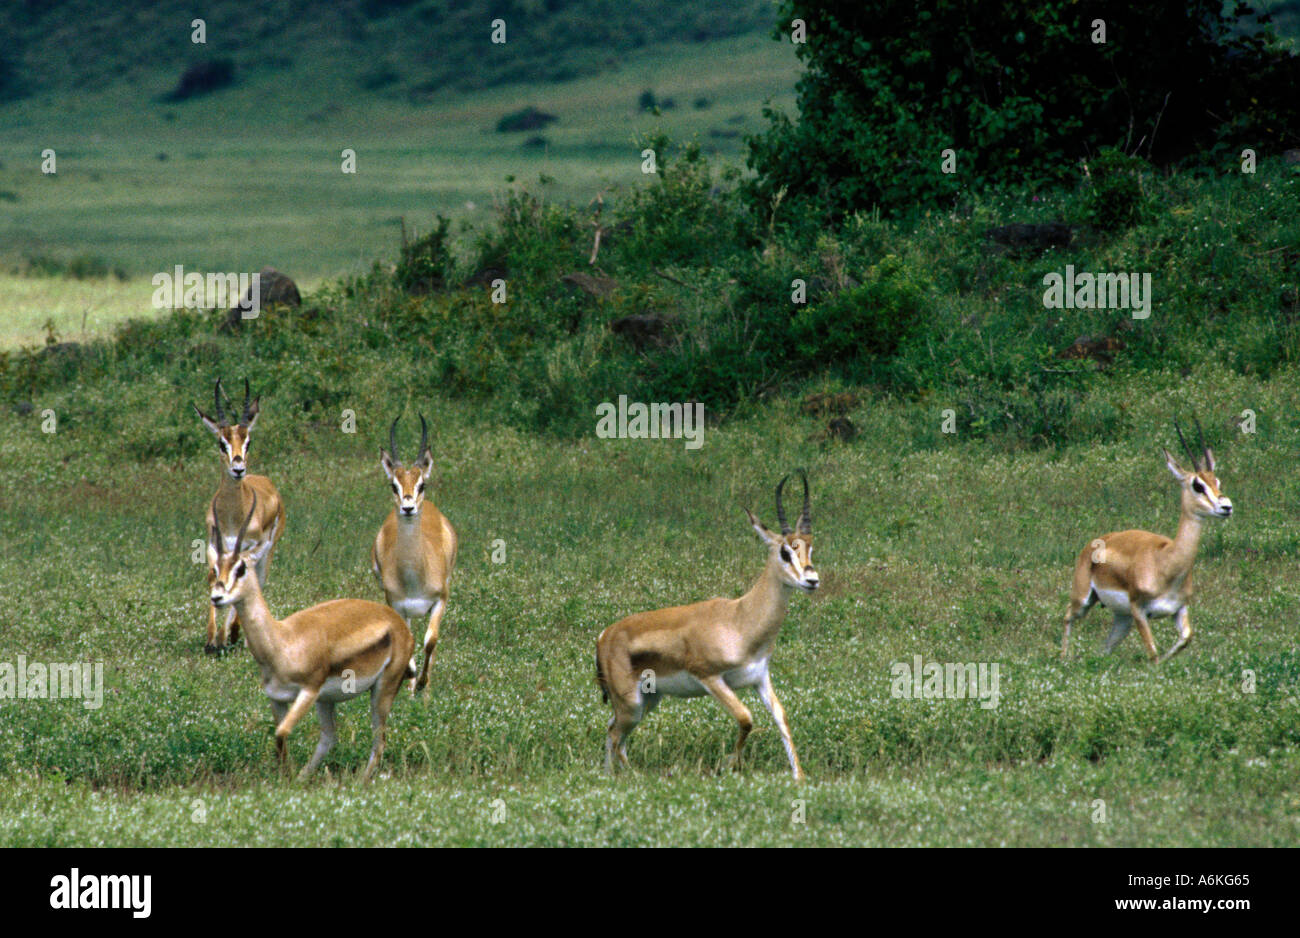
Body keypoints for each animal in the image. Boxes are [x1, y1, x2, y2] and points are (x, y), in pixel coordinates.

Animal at [193, 378, 286, 654]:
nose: (238, 469)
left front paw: (226, 635)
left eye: (248, 442)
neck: (234, 515)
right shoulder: (214, 545)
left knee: (259, 581)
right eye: (221, 443)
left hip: (267, 553)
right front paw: (211, 638)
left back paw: (239, 635)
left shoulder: (248, 549)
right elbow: (214, 576)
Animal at [209, 494, 415, 781]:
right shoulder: (277, 698)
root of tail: (398, 624)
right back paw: (305, 778)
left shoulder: (309, 690)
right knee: (330, 738)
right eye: (216, 567)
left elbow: (282, 732)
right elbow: (281, 739)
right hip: (327, 701)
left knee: (379, 740)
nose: (217, 597)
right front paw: (287, 779)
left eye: (241, 568)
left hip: (382, 688)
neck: (282, 641)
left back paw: (360, 781)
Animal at [372, 414, 458, 694]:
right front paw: (411, 684)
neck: (413, 578)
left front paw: (423, 684)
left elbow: (431, 640)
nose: (408, 507)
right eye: (393, 485)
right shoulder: (397, 605)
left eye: (422, 484)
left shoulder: (441, 599)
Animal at [596, 470, 819, 781]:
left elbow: (781, 718)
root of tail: (605, 635)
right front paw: (726, 766)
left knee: (611, 730)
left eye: (810, 546)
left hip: (647, 701)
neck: (740, 620)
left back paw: (608, 777)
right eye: (785, 552)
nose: (812, 580)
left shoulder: (759, 678)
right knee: (616, 737)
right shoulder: (711, 677)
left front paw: (800, 778)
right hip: (632, 704)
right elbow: (746, 719)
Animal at [1061, 418, 1233, 663]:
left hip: (1121, 619)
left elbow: (1185, 638)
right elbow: (1153, 653)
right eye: (1197, 485)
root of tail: (1095, 543)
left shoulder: (1179, 608)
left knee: (1105, 648)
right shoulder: (1138, 610)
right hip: (1083, 600)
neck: (1165, 562)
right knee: (1067, 615)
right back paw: (1063, 658)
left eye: (1216, 481)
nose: (1226, 506)